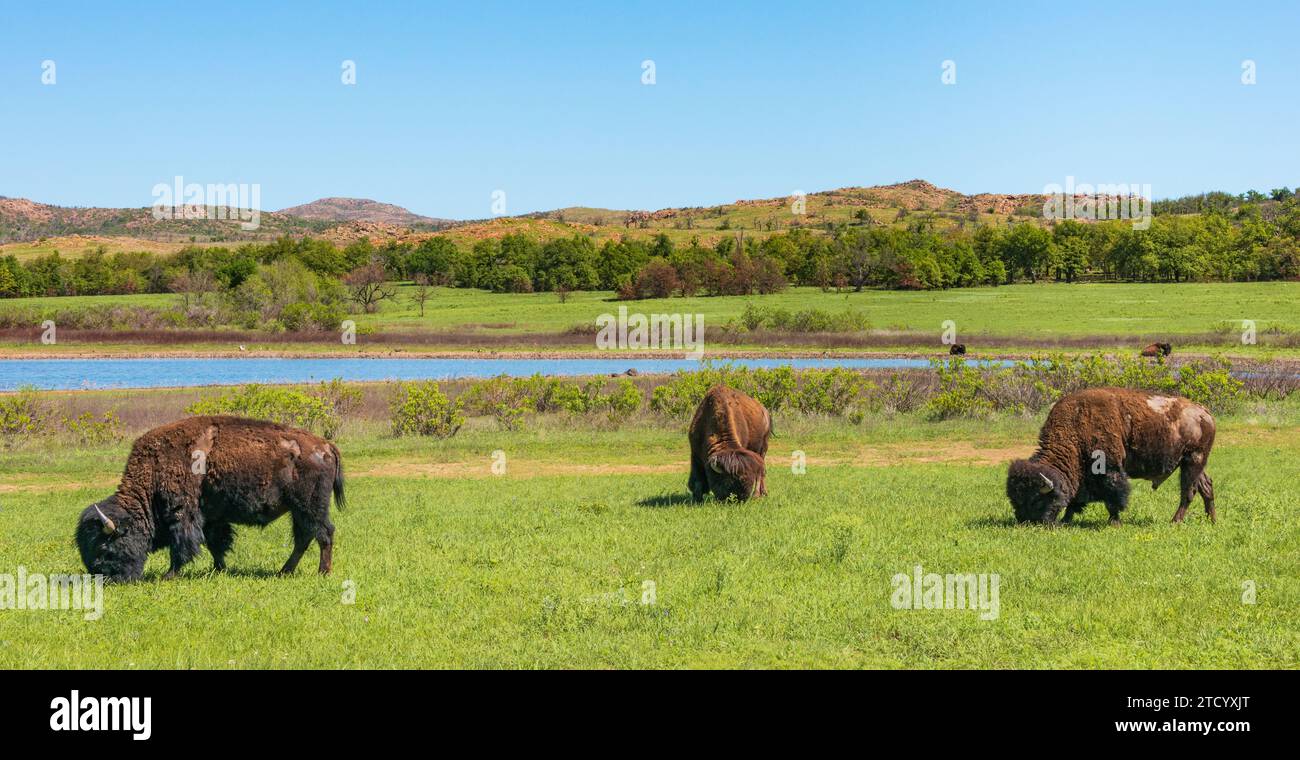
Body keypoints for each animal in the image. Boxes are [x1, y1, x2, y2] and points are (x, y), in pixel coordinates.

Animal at [76, 416, 344, 582]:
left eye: (104, 545)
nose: (106, 579)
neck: (155, 469)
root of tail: (326, 446)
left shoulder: (183, 514)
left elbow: (182, 545)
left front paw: (169, 575)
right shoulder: (212, 518)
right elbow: (216, 543)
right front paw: (219, 569)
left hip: (310, 507)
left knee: (324, 533)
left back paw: (323, 572)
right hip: (298, 510)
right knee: (304, 537)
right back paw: (284, 571)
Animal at [1007, 388, 1215, 526]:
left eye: (1035, 500)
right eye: (1014, 499)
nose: (1025, 522)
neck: (1076, 427)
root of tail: (1204, 413)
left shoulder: (1109, 469)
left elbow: (1113, 496)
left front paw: (1114, 521)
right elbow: (1076, 499)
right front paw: (1067, 520)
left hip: (1193, 460)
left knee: (1189, 491)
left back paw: (1175, 521)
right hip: (1193, 463)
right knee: (1205, 486)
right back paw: (1211, 520)